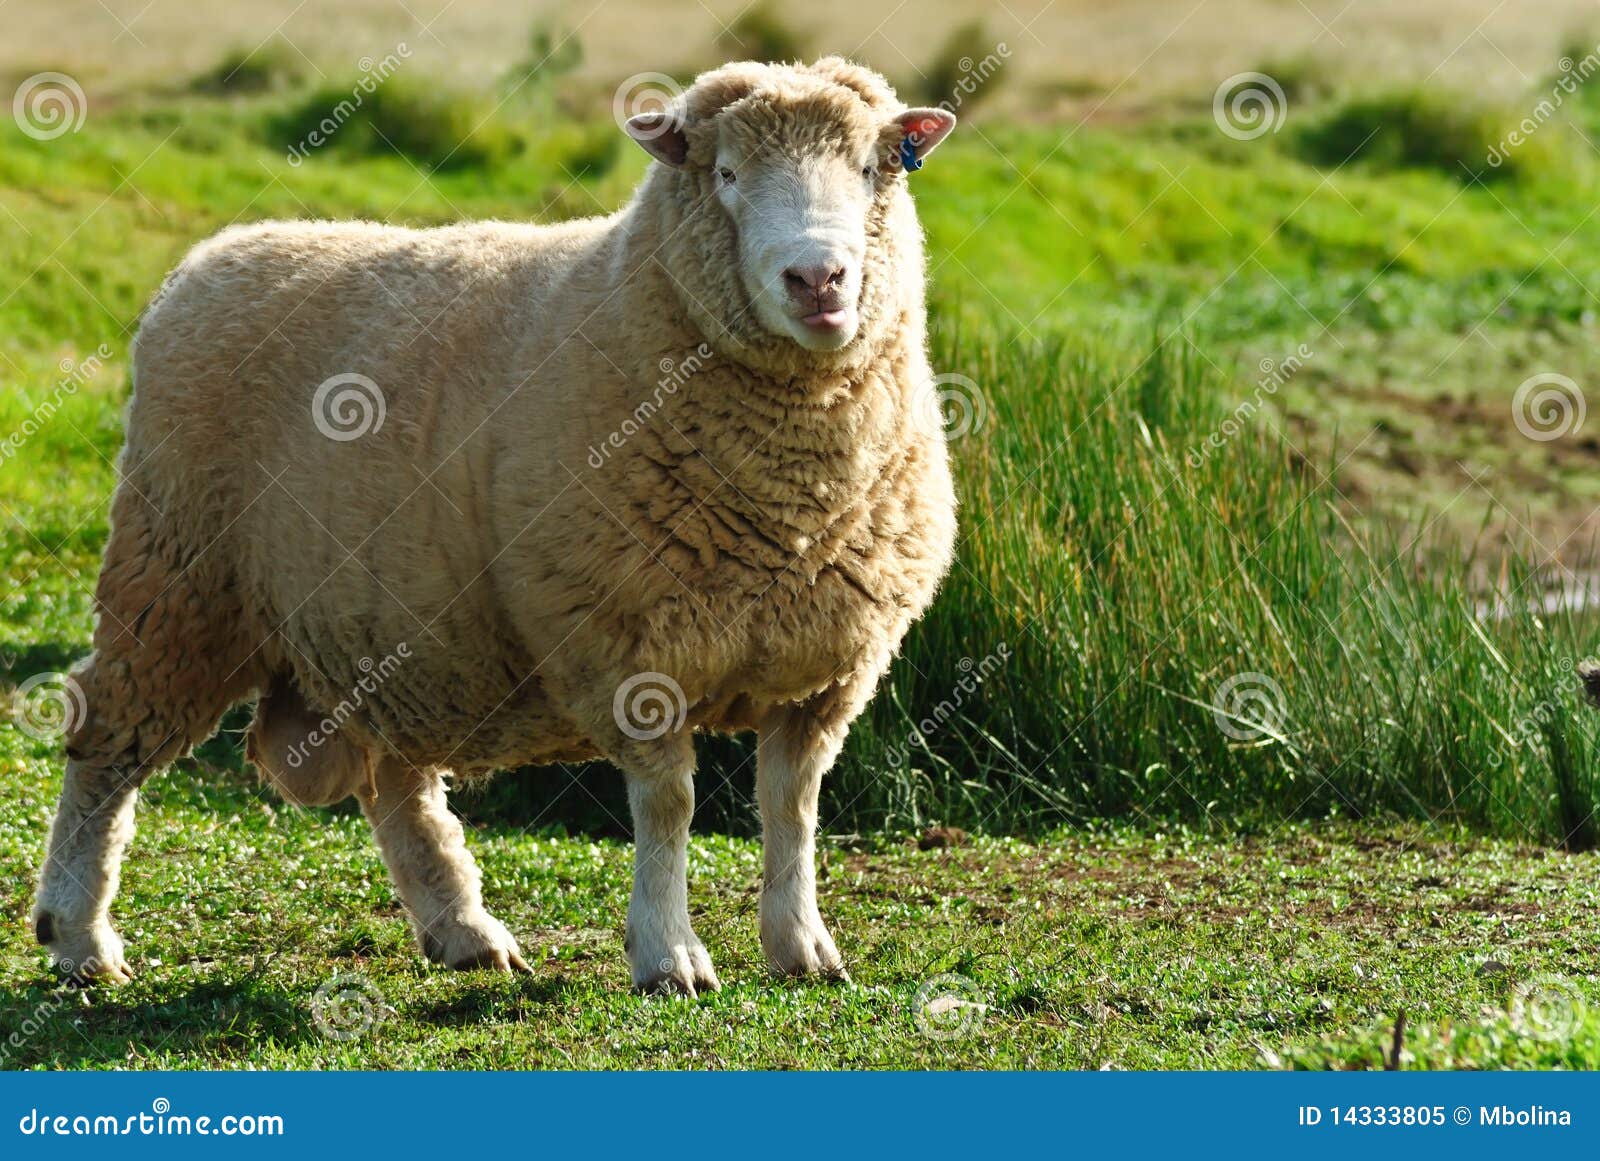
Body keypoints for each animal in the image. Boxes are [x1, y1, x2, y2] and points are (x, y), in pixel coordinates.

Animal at [32, 57, 959, 996]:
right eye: (726, 173)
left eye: (875, 169)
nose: (819, 281)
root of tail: (206, 260)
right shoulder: (626, 646)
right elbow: (669, 805)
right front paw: (669, 955)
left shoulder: (827, 667)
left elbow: (793, 806)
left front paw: (802, 945)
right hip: (177, 583)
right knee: (105, 737)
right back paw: (77, 934)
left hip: (388, 633)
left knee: (394, 782)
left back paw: (464, 929)